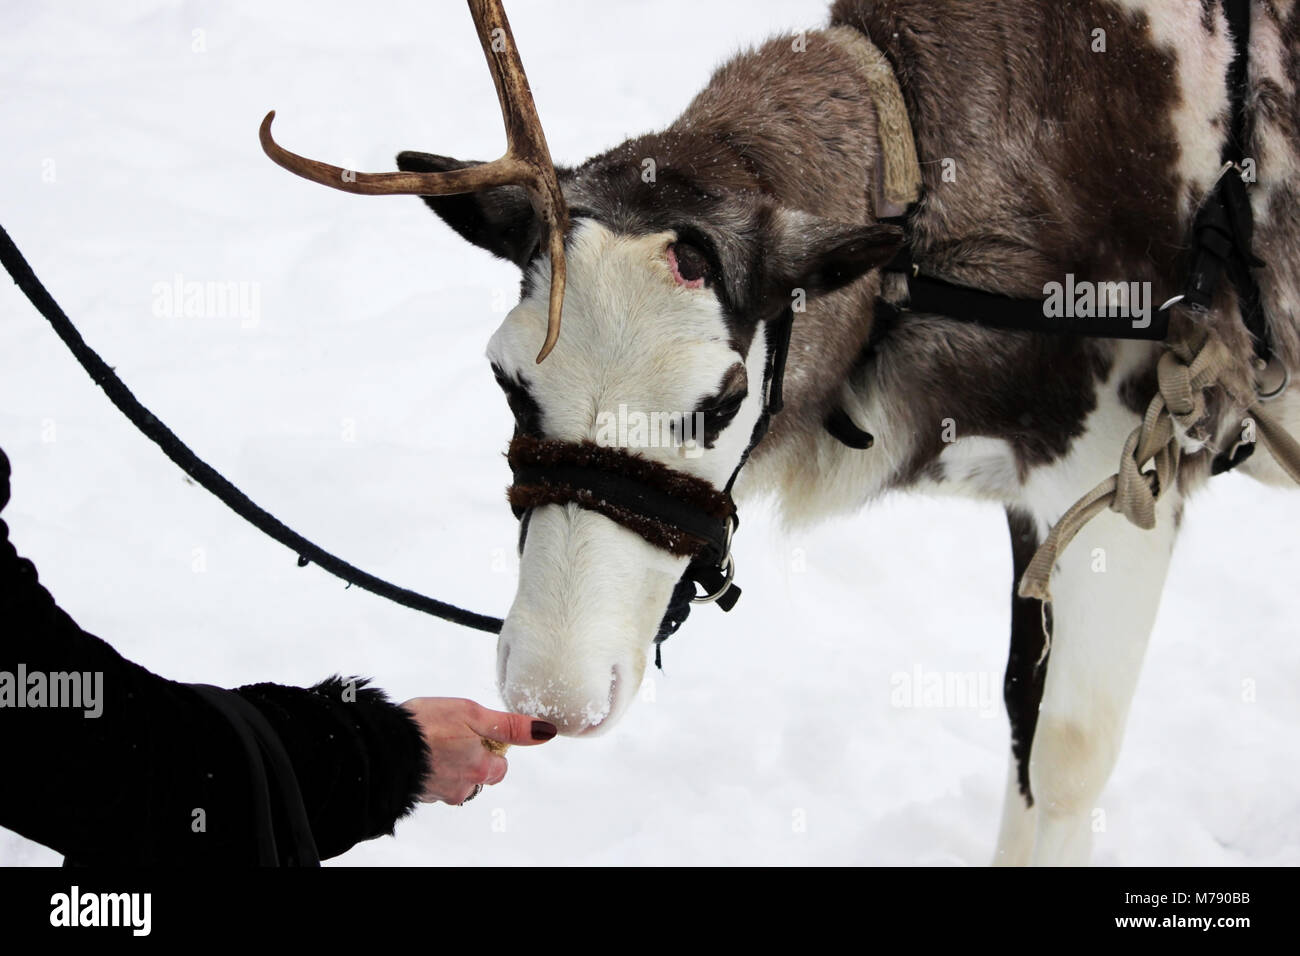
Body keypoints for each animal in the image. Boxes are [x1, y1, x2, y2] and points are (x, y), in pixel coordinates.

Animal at [259, 0, 1300, 865]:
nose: (553, 698)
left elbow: (1067, 758)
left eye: (718, 401)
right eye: (510, 381)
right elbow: (1019, 717)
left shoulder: (1124, 471)